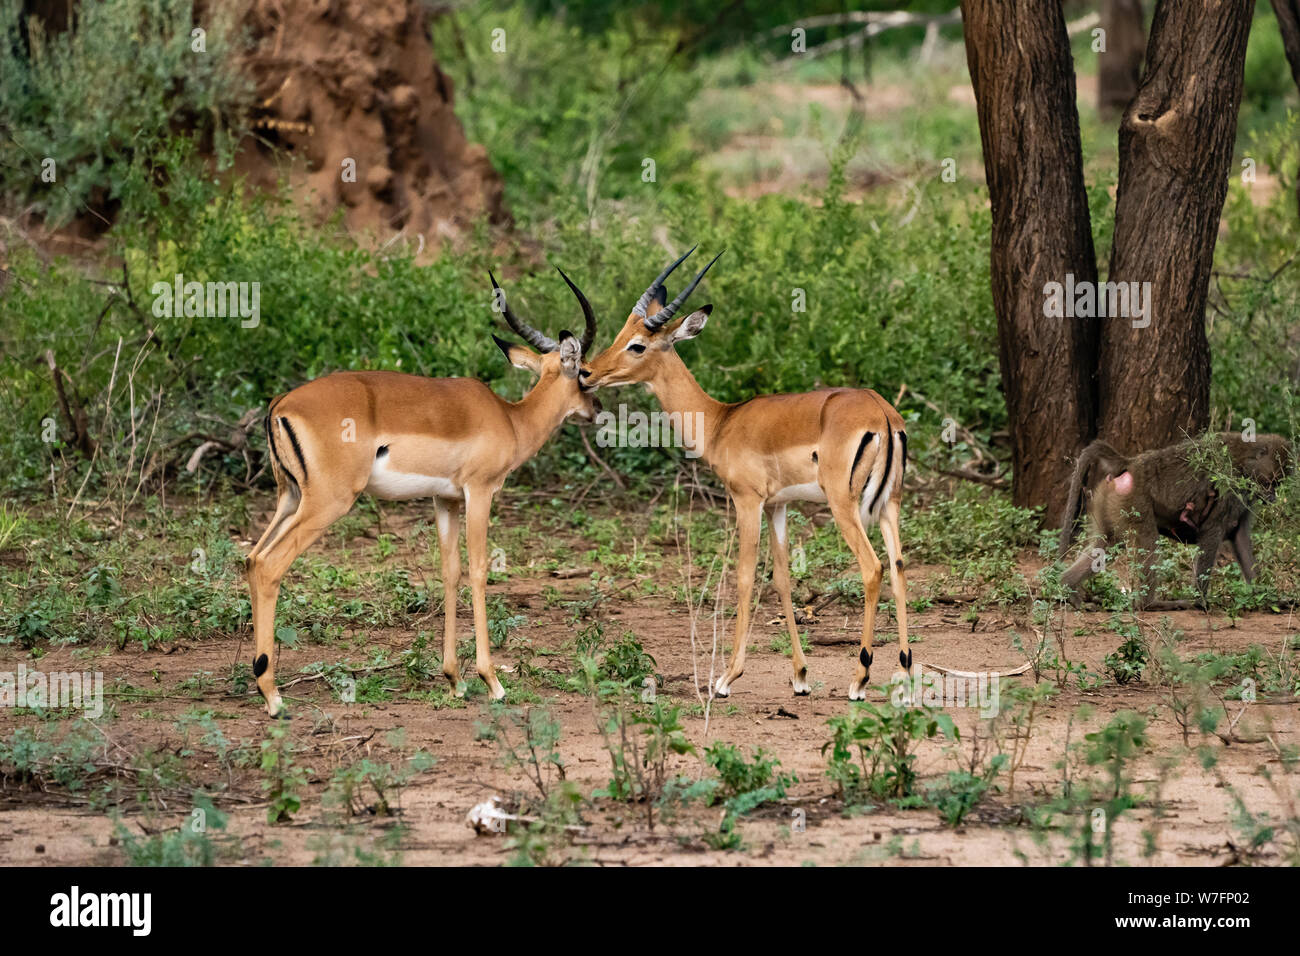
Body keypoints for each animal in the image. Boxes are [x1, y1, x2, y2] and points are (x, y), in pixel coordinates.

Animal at [245, 269, 599, 716]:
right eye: (584, 372)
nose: (596, 410)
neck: (511, 420)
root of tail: (280, 404)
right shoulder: (480, 492)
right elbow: (479, 570)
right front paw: (492, 681)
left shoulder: (445, 500)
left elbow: (449, 571)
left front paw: (454, 680)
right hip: (328, 502)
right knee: (270, 564)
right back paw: (273, 696)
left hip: (290, 498)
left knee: (252, 558)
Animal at [581, 249, 910, 700]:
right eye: (619, 335)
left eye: (638, 345)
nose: (586, 373)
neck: (721, 420)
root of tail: (881, 412)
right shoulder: (778, 506)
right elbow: (782, 579)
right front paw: (800, 677)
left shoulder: (747, 501)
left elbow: (743, 576)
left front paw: (726, 678)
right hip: (890, 504)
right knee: (898, 567)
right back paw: (906, 676)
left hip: (844, 505)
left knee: (872, 568)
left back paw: (859, 679)